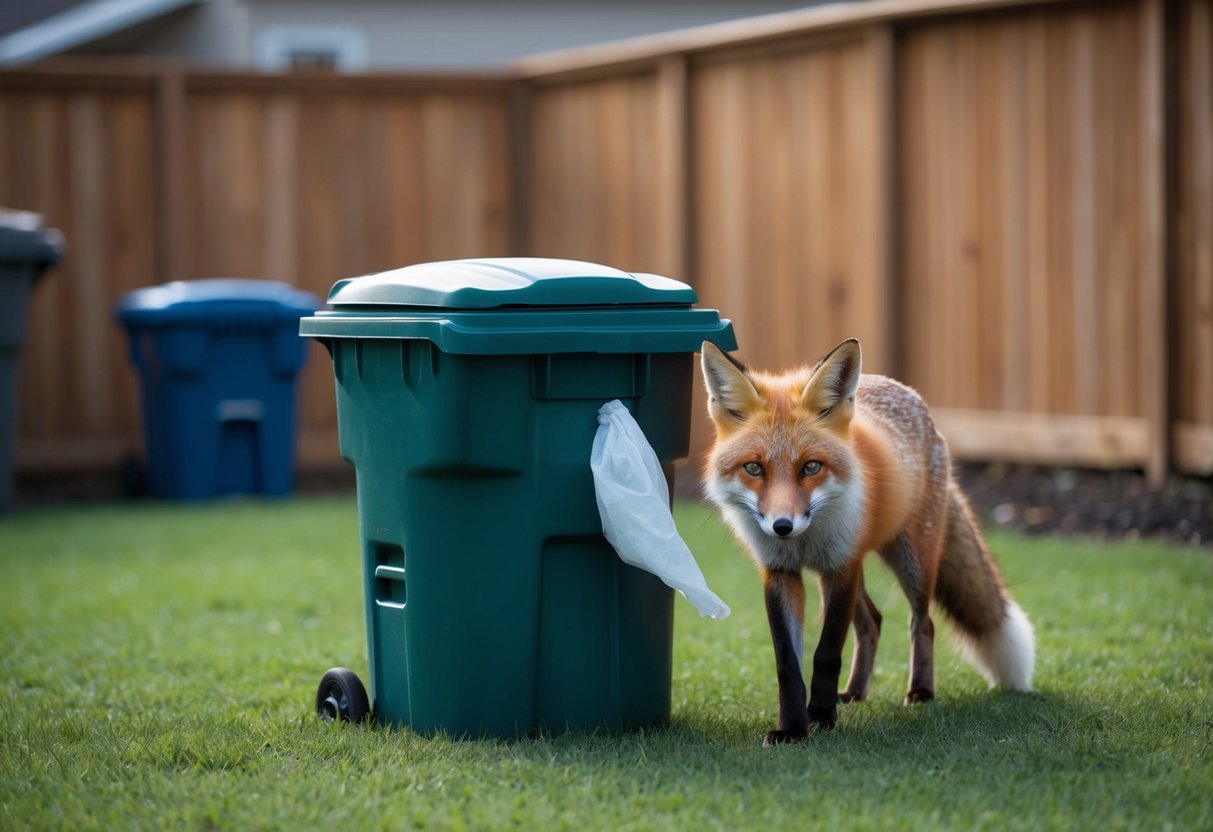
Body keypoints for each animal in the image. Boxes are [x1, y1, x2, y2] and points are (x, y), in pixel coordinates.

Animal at [699, 337, 1034, 746]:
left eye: (811, 467)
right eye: (753, 468)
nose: (782, 526)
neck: (804, 541)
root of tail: (907, 393)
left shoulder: (842, 565)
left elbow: (827, 653)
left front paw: (821, 717)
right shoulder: (781, 572)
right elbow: (788, 665)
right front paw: (793, 728)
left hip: (910, 560)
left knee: (922, 622)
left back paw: (920, 691)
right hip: (835, 573)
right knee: (872, 621)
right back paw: (855, 692)